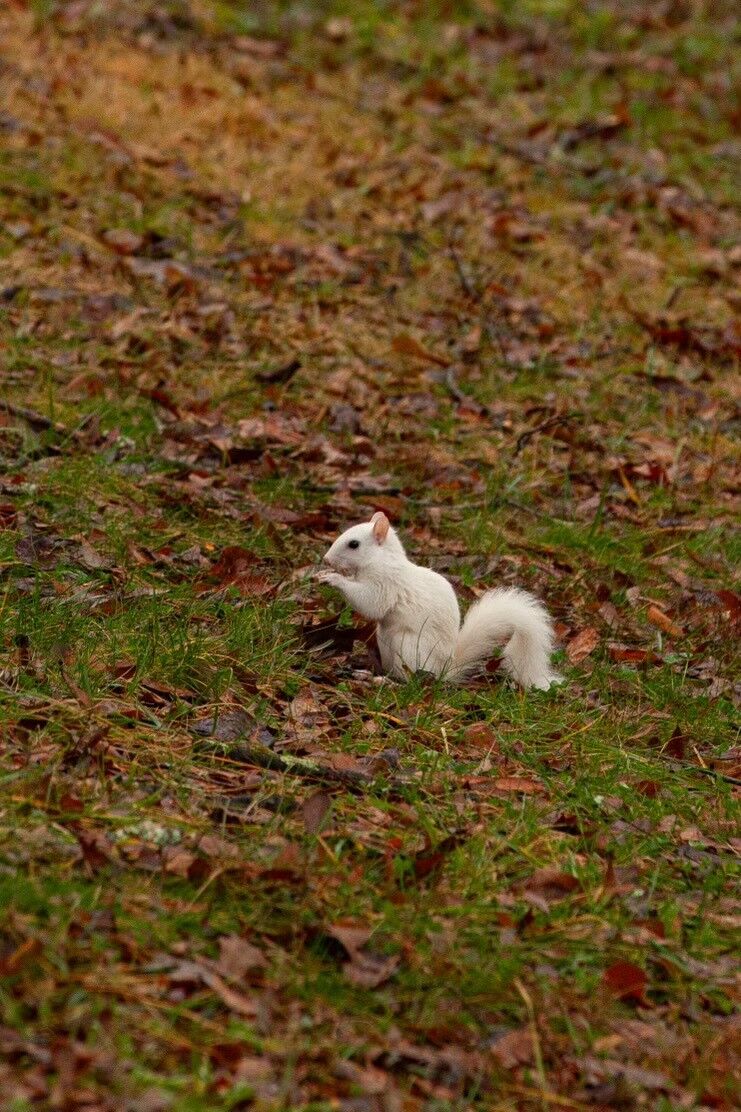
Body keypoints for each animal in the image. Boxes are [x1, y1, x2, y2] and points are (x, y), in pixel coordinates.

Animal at [316, 512, 561, 689]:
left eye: (353, 544)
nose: (326, 559)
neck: (381, 560)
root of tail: (445, 670)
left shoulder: (387, 584)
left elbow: (371, 603)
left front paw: (334, 578)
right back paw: (368, 673)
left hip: (407, 647)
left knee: (411, 681)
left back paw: (385, 681)